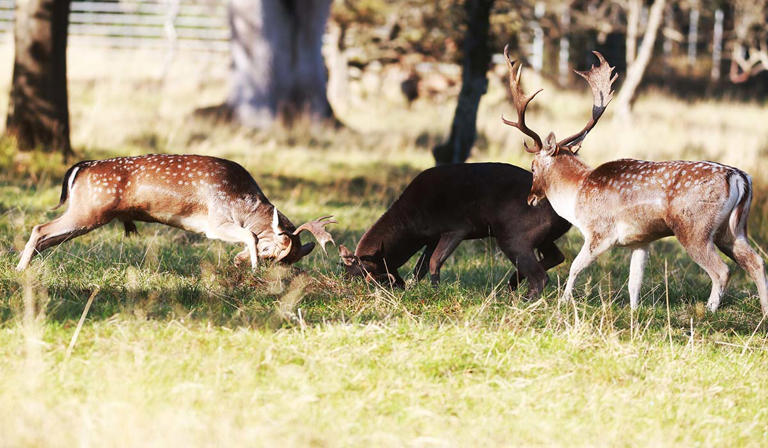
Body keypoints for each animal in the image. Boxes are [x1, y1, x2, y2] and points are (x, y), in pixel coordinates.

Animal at [16, 154, 335, 271]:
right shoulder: (214, 222)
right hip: (88, 210)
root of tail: (80, 168)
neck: (242, 202)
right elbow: (249, 235)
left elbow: (248, 235)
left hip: (86, 214)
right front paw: (254, 266)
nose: (239, 261)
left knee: (48, 237)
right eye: (270, 250)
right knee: (40, 229)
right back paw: (19, 269)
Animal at [339, 162, 572, 298]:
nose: (346, 283)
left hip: (513, 237)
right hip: (541, 237)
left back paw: (520, 298)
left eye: (366, 271)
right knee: (557, 256)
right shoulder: (432, 237)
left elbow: (434, 262)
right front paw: (415, 288)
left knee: (540, 276)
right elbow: (420, 267)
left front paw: (435, 292)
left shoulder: (457, 228)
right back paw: (512, 284)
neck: (412, 220)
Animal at [501, 45, 768, 315]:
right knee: (757, 261)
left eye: (533, 166)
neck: (576, 196)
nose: (531, 198)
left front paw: (564, 302)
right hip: (732, 229)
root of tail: (739, 177)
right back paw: (764, 312)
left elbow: (575, 266)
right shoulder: (640, 241)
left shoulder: (601, 232)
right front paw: (634, 311)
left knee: (722, 271)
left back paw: (709, 311)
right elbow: (634, 282)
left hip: (694, 228)